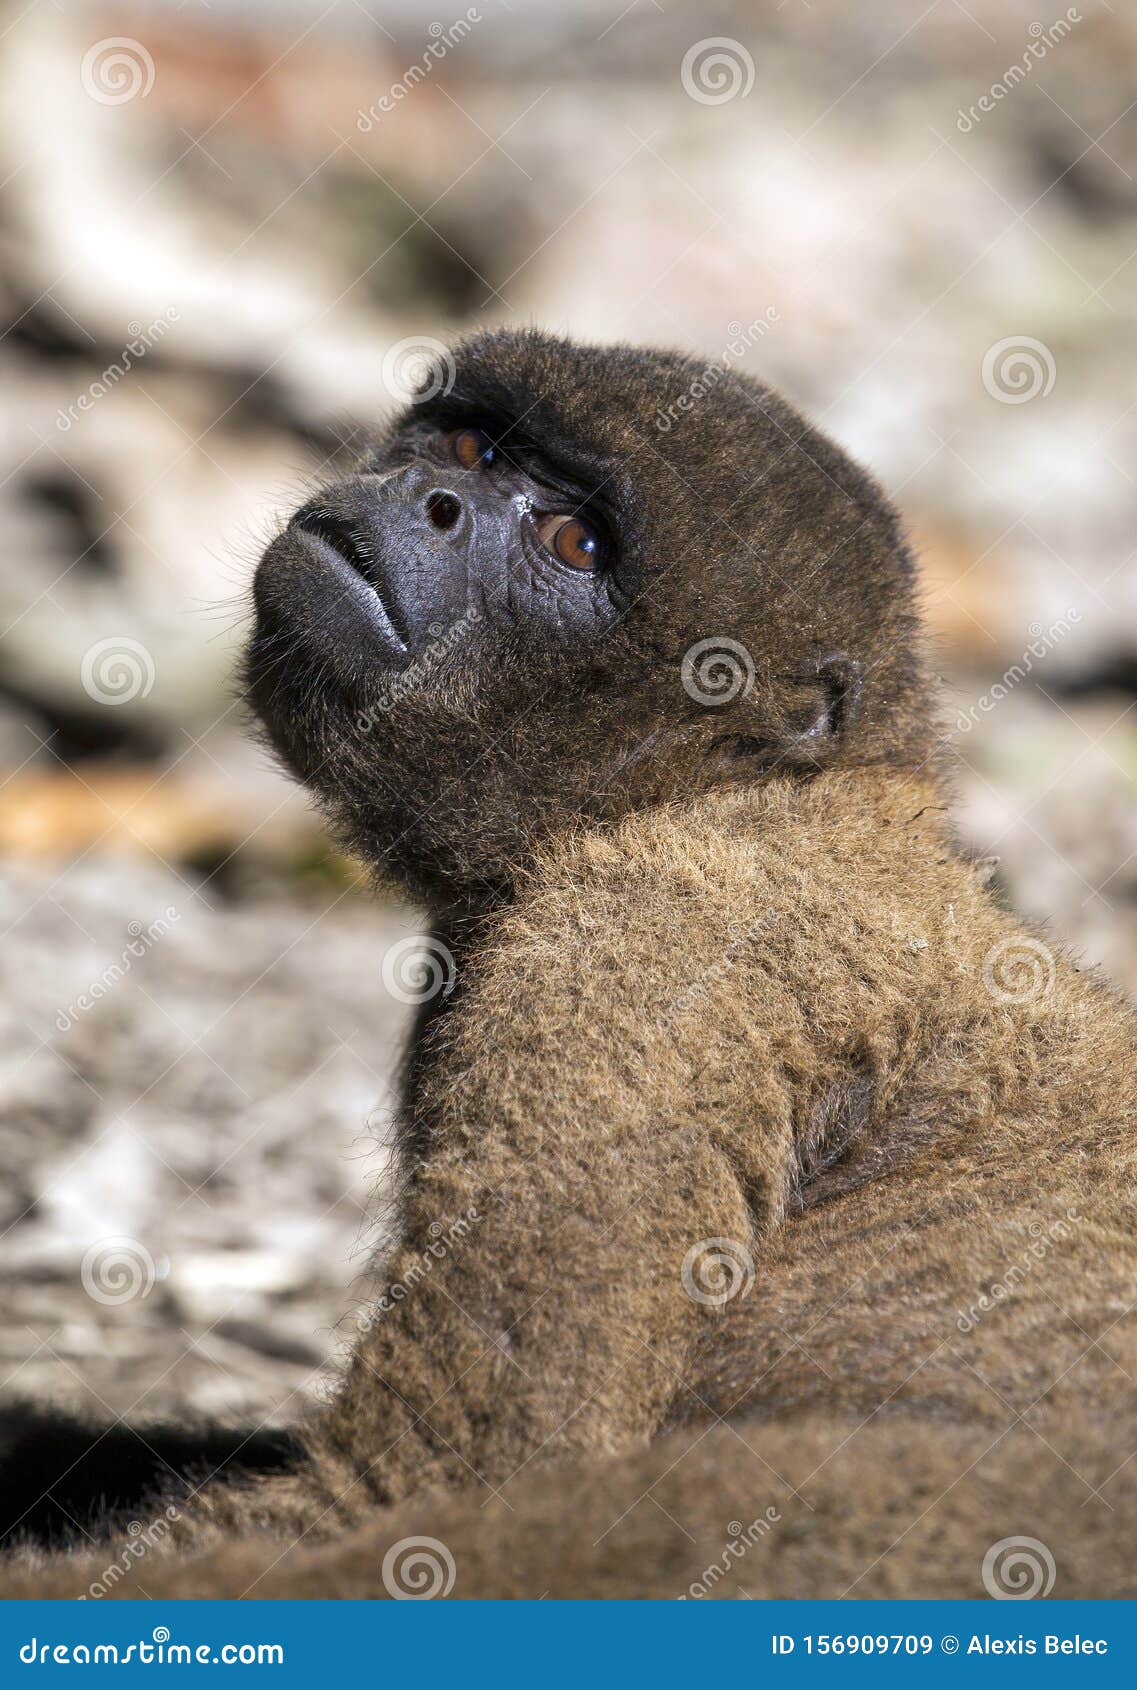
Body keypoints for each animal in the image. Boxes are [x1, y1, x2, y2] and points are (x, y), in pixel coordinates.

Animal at [3, 328, 1136, 1598]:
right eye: (468, 447)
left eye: (575, 544)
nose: (432, 498)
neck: (736, 789)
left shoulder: (632, 958)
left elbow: (432, 1480)